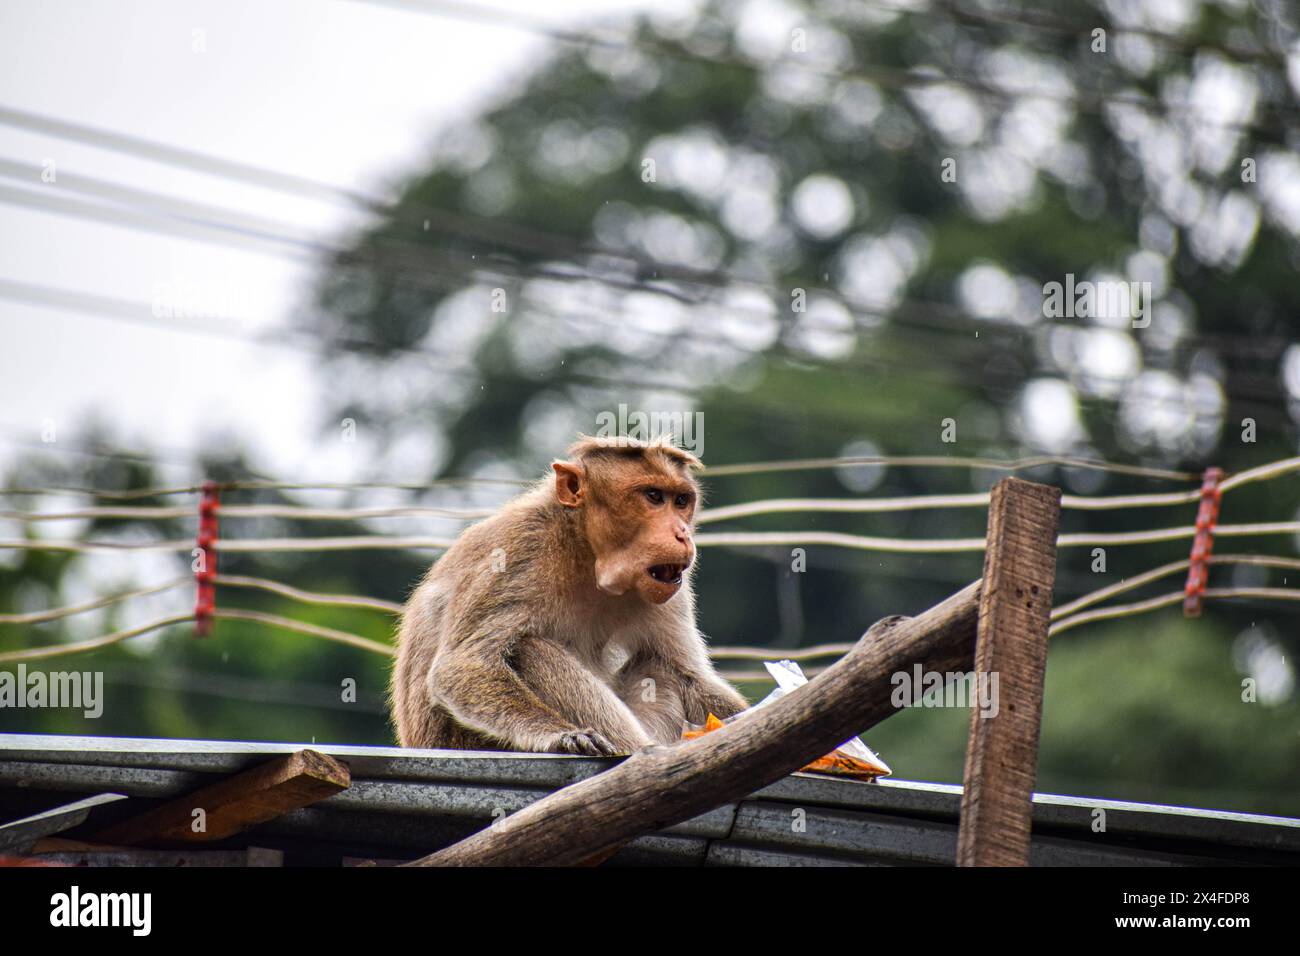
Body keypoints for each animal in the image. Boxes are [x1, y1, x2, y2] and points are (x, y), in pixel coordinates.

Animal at [390, 435, 749, 755]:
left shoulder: (673, 588)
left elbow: (691, 675)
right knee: (529, 650)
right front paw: (558, 735)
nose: (683, 534)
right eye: (653, 496)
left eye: (681, 501)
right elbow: (460, 667)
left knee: (660, 666)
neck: (585, 551)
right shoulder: (516, 552)